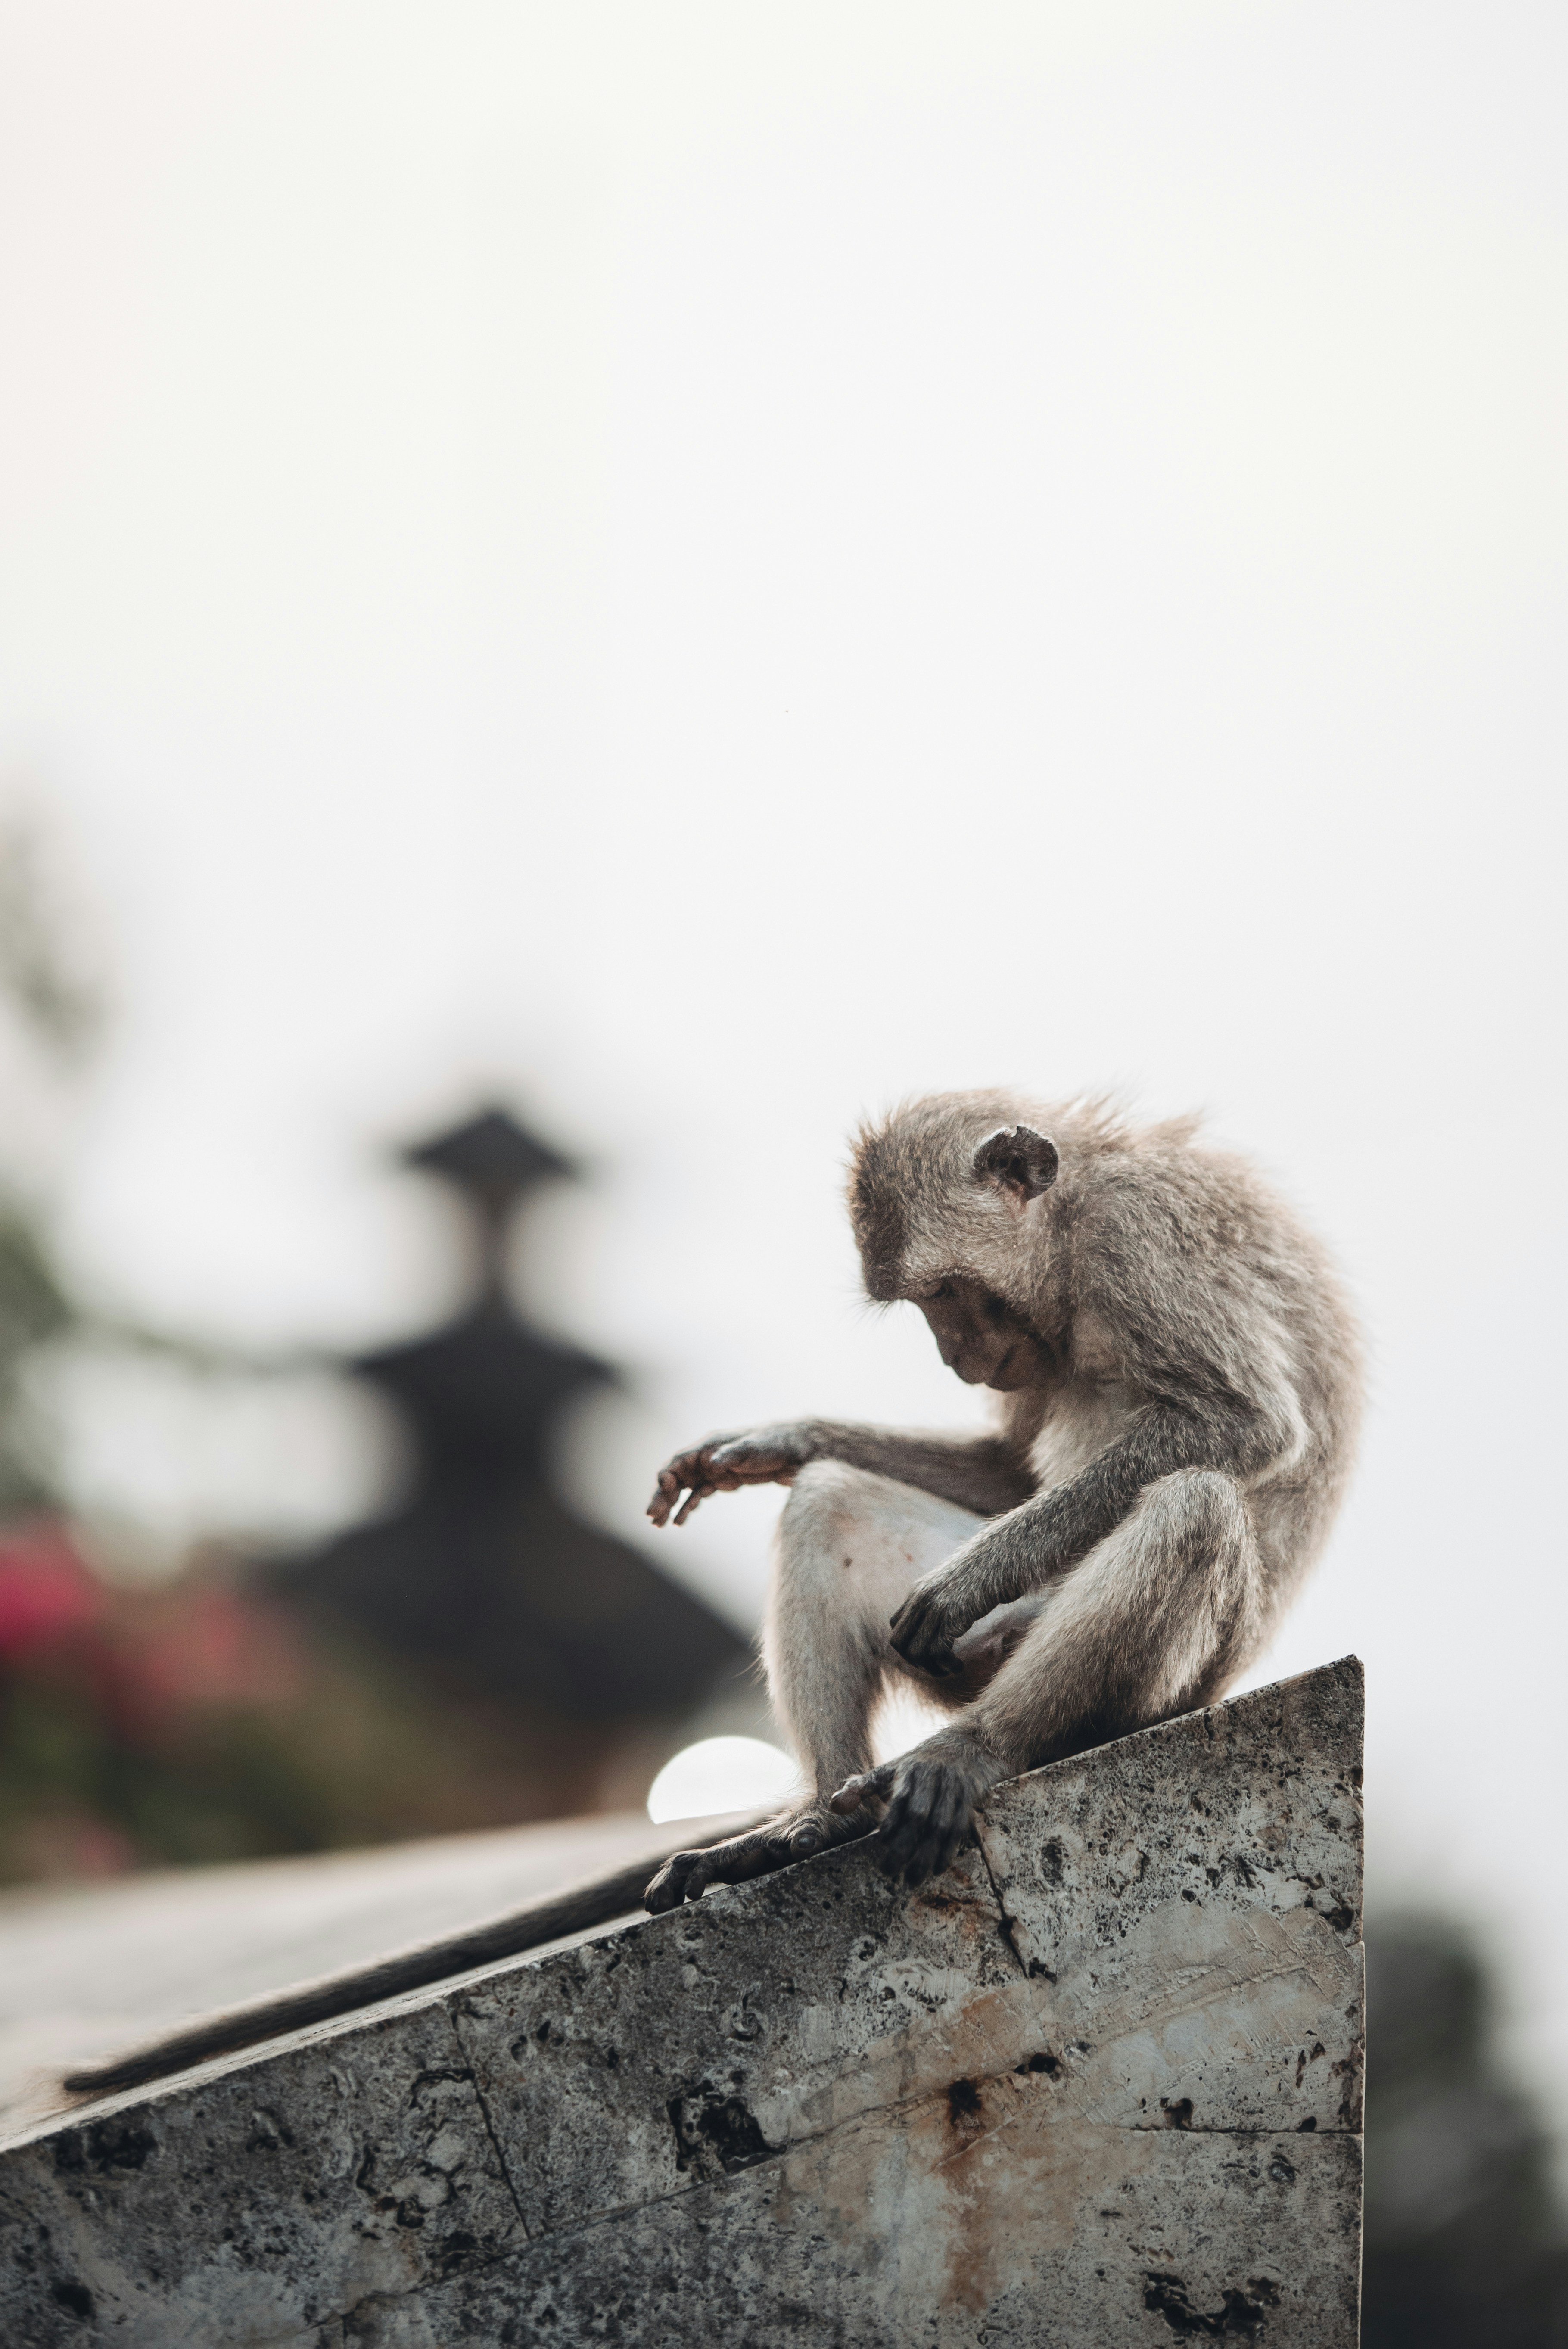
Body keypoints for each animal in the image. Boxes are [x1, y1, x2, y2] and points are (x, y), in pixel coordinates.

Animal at [642, 1090, 1361, 1909]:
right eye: (923, 1300)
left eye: (945, 1290)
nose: (955, 1357)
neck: (1072, 1220)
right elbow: (1009, 1473)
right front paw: (783, 1440)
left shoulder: (1135, 1231)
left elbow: (1243, 1421)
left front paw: (971, 1577)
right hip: (977, 1654)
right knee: (828, 1501)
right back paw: (821, 1817)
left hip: (1174, 1680)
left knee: (1196, 1505)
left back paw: (974, 1748)